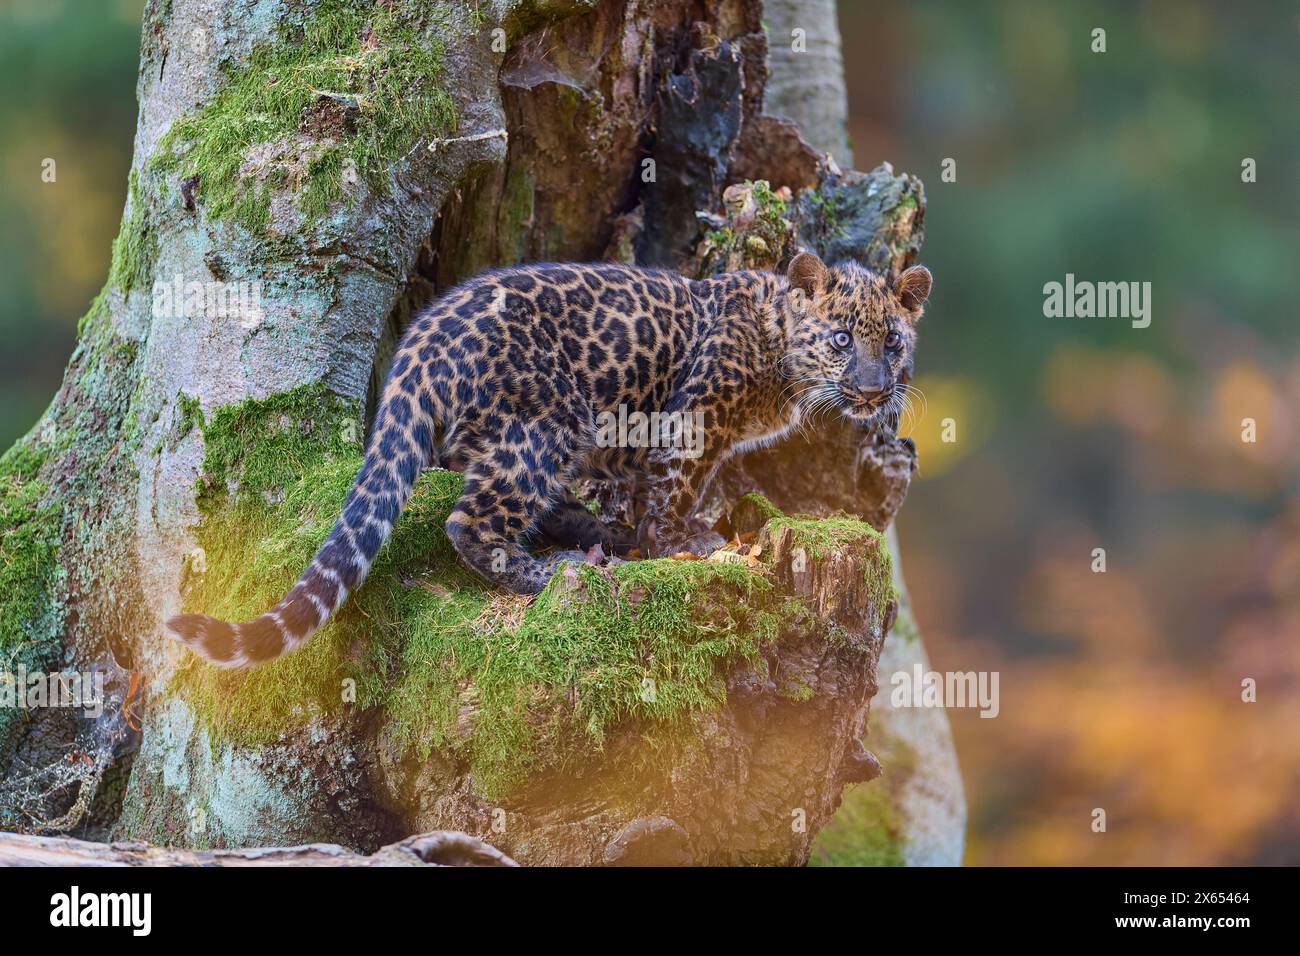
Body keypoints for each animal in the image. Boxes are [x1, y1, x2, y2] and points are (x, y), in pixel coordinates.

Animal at [166, 252, 932, 667]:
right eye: (841, 339)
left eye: (893, 341)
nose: (873, 388)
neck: (779, 348)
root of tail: (416, 352)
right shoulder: (692, 416)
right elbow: (673, 486)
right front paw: (678, 542)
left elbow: (649, 486)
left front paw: (652, 531)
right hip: (546, 424)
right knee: (468, 521)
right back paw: (549, 572)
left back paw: (590, 538)